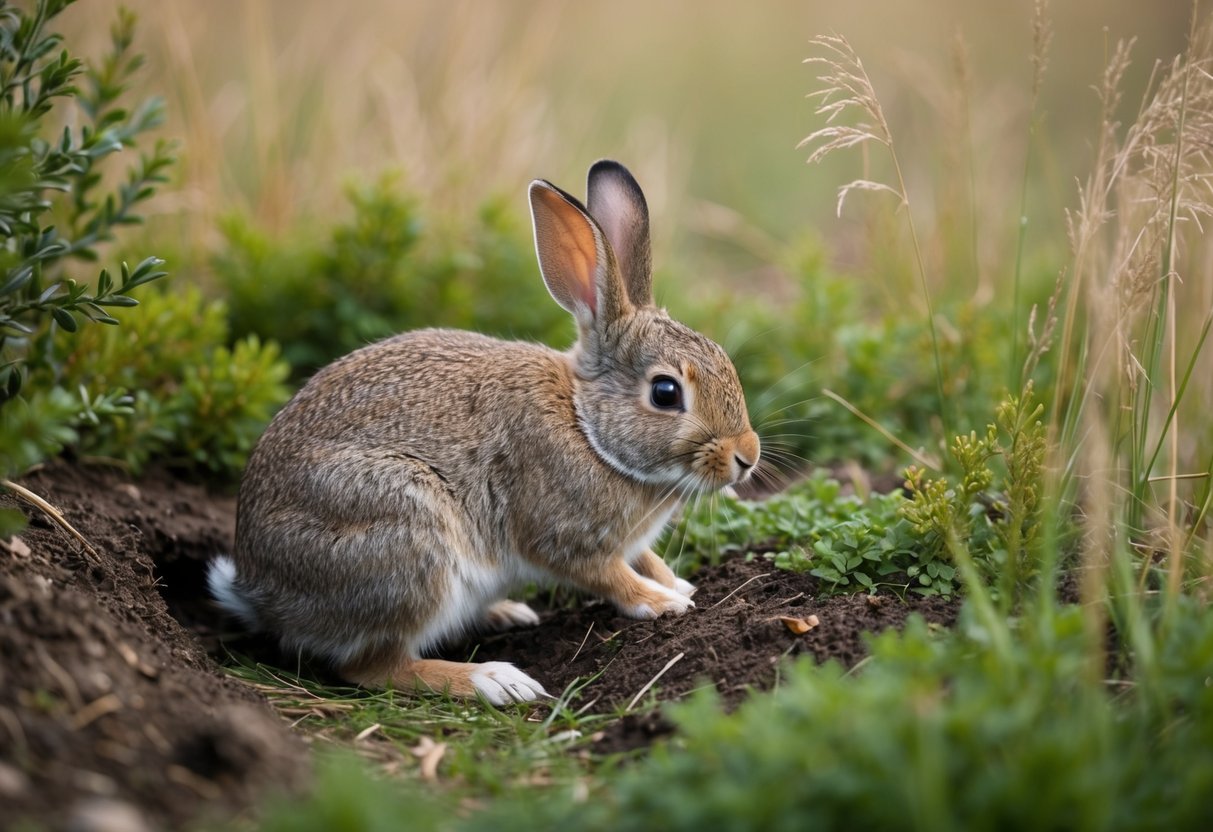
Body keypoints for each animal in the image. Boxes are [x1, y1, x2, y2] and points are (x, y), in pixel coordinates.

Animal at [207, 160, 760, 705]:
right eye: (665, 393)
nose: (748, 456)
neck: (587, 428)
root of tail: (261, 593)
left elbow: (644, 557)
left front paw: (678, 586)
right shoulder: (563, 535)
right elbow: (609, 575)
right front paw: (662, 604)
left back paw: (506, 613)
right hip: (406, 540)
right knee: (373, 667)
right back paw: (494, 680)